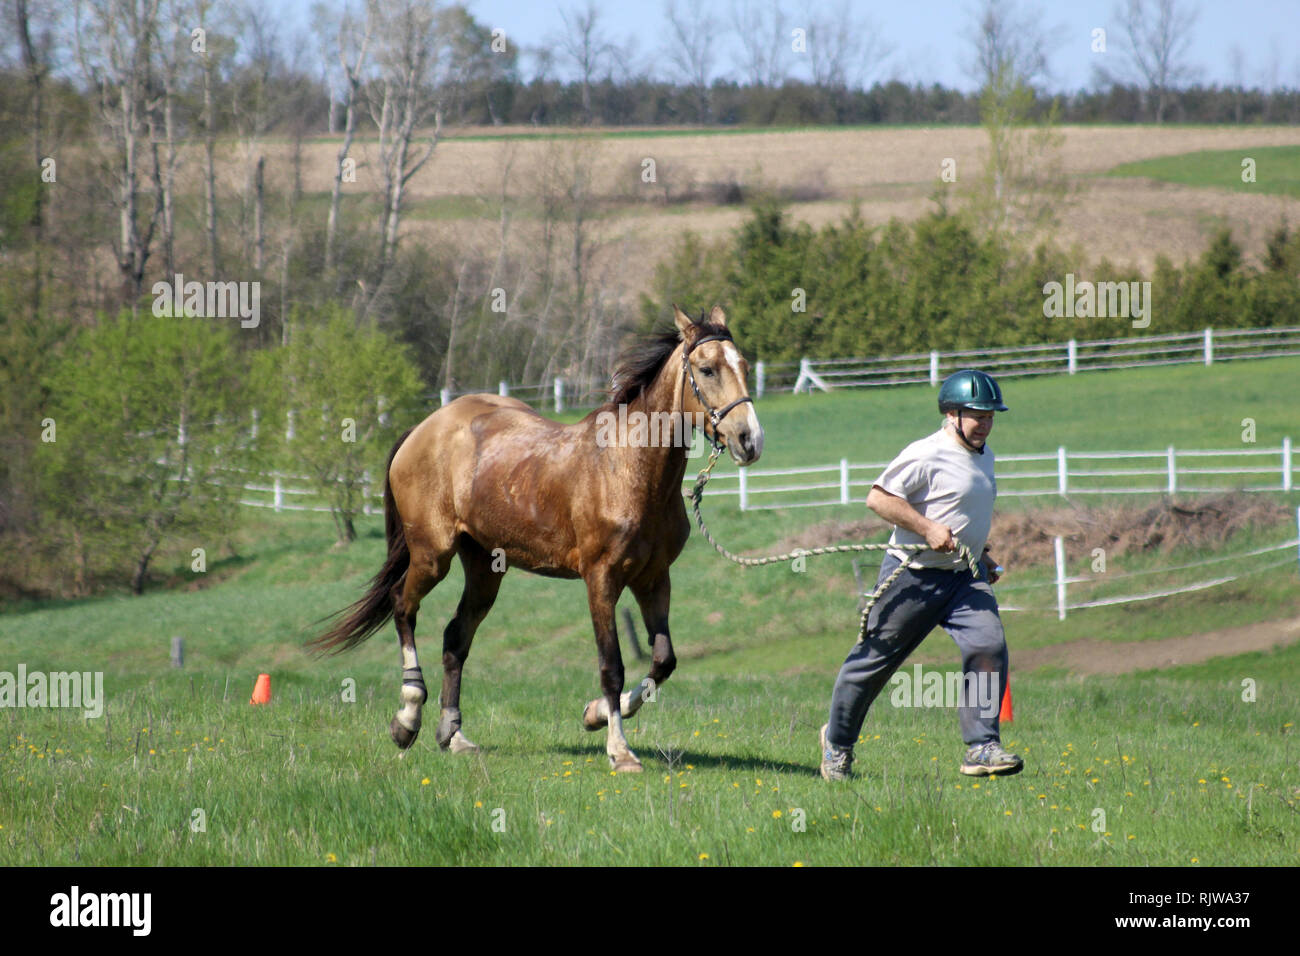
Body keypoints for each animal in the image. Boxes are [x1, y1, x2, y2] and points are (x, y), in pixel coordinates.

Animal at [310, 305, 763, 771]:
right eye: (707, 369)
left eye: (745, 367)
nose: (749, 440)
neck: (628, 468)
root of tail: (423, 429)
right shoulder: (601, 580)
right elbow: (612, 666)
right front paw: (619, 750)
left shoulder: (653, 579)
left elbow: (662, 661)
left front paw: (594, 714)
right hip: (432, 555)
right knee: (404, 606)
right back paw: (407, 719)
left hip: (485, 568)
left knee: (455, 638)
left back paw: (453, 734)